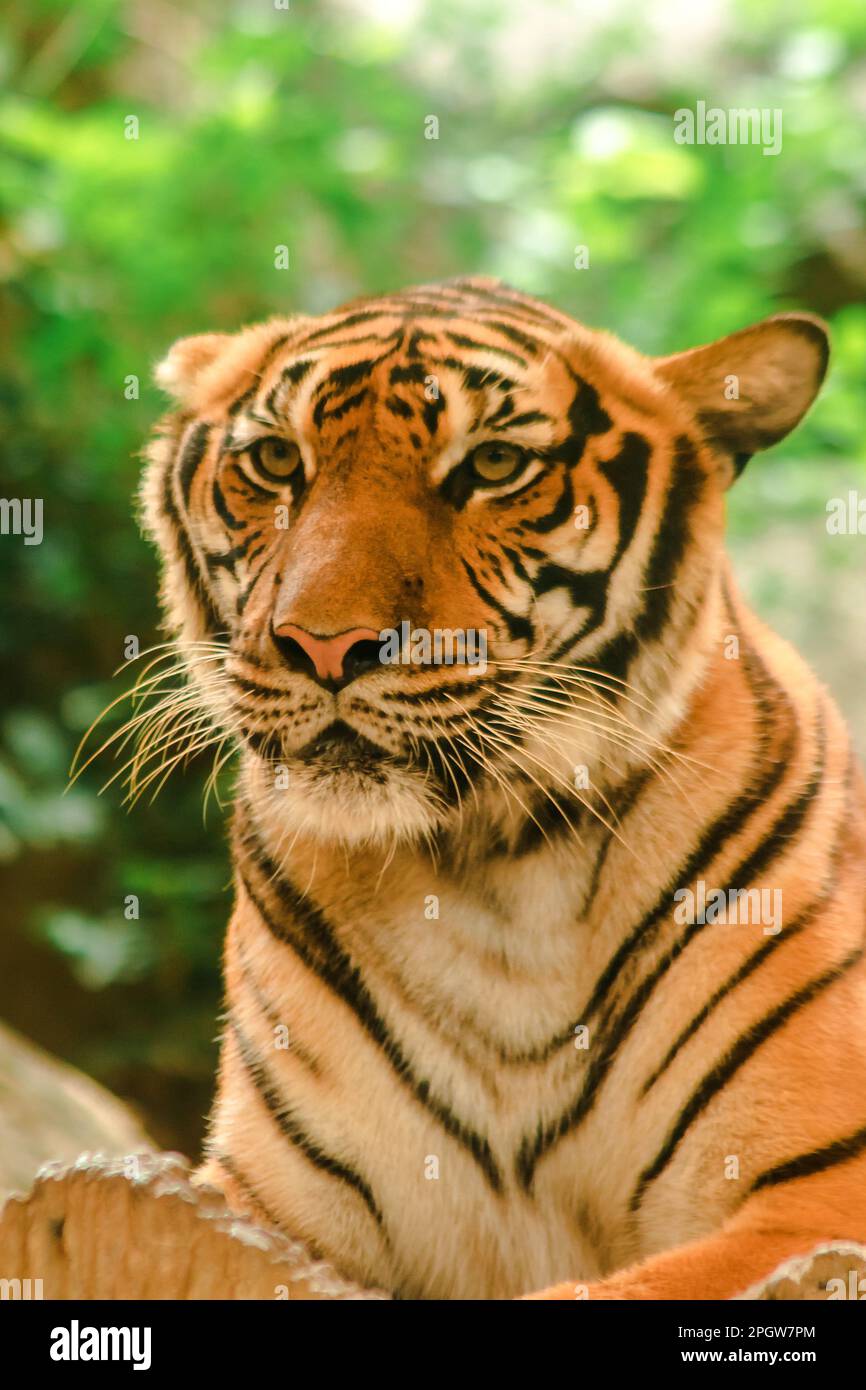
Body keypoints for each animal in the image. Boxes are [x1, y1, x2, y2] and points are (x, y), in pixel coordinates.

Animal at [140, 276, 866, 1300]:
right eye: (277, 460)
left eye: (493, 465)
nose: (323, 644)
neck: (490, 873)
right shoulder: (254, 1201)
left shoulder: (814, 1199)